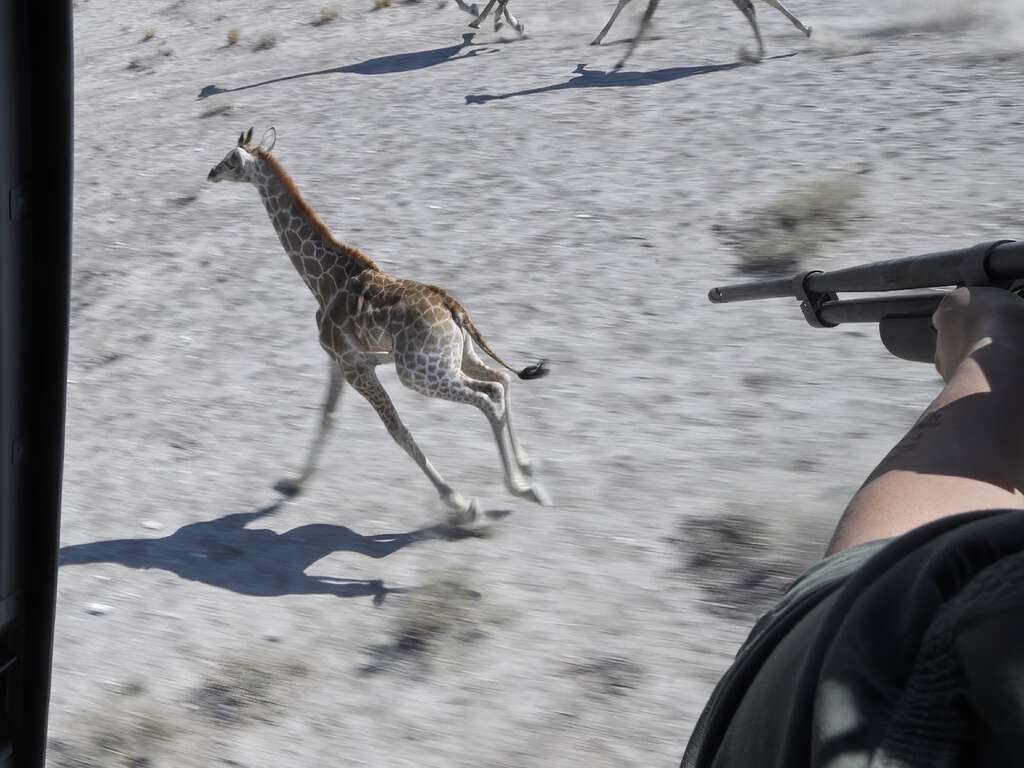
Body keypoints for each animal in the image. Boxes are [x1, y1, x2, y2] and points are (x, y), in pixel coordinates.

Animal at [207, 127, 550, 524]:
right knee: (503, 379)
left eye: (231, 159)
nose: (210, 173)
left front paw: (460, 503)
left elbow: (396, 430)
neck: (321, 280)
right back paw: (528, 474)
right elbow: (326, 417)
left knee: (488, 395)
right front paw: (293, 483)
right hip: (457, 356)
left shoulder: (355, 367)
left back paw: (518, 488)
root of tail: (454, 308)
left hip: (419, 373)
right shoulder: (341, 363)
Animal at [592, 0, 812, 70]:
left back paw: (756, 53)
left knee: (750, 9)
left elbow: (643, 19)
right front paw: (597, 40)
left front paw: (620, 61)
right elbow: (624, 2)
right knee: (754, 7)